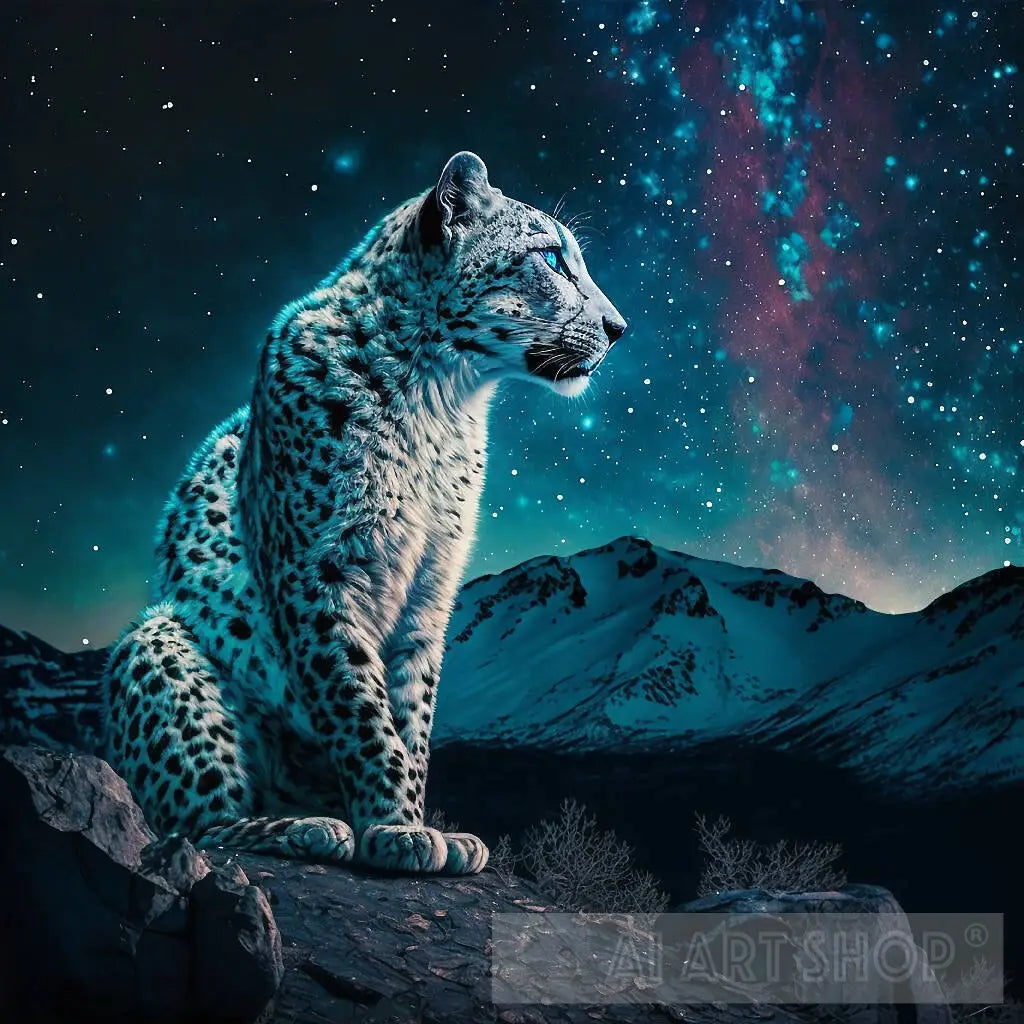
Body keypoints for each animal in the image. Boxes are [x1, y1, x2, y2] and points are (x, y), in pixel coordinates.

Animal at [100, 151, 626, 874]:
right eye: (551, 257)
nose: (619, 327)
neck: (444, 399)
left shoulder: (431, 587)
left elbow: (411, 710)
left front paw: (413, 823)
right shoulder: (320, 572)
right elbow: (359, 704)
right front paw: (395, 829)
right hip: (153, 647)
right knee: (193, 829)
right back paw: (306, 825)